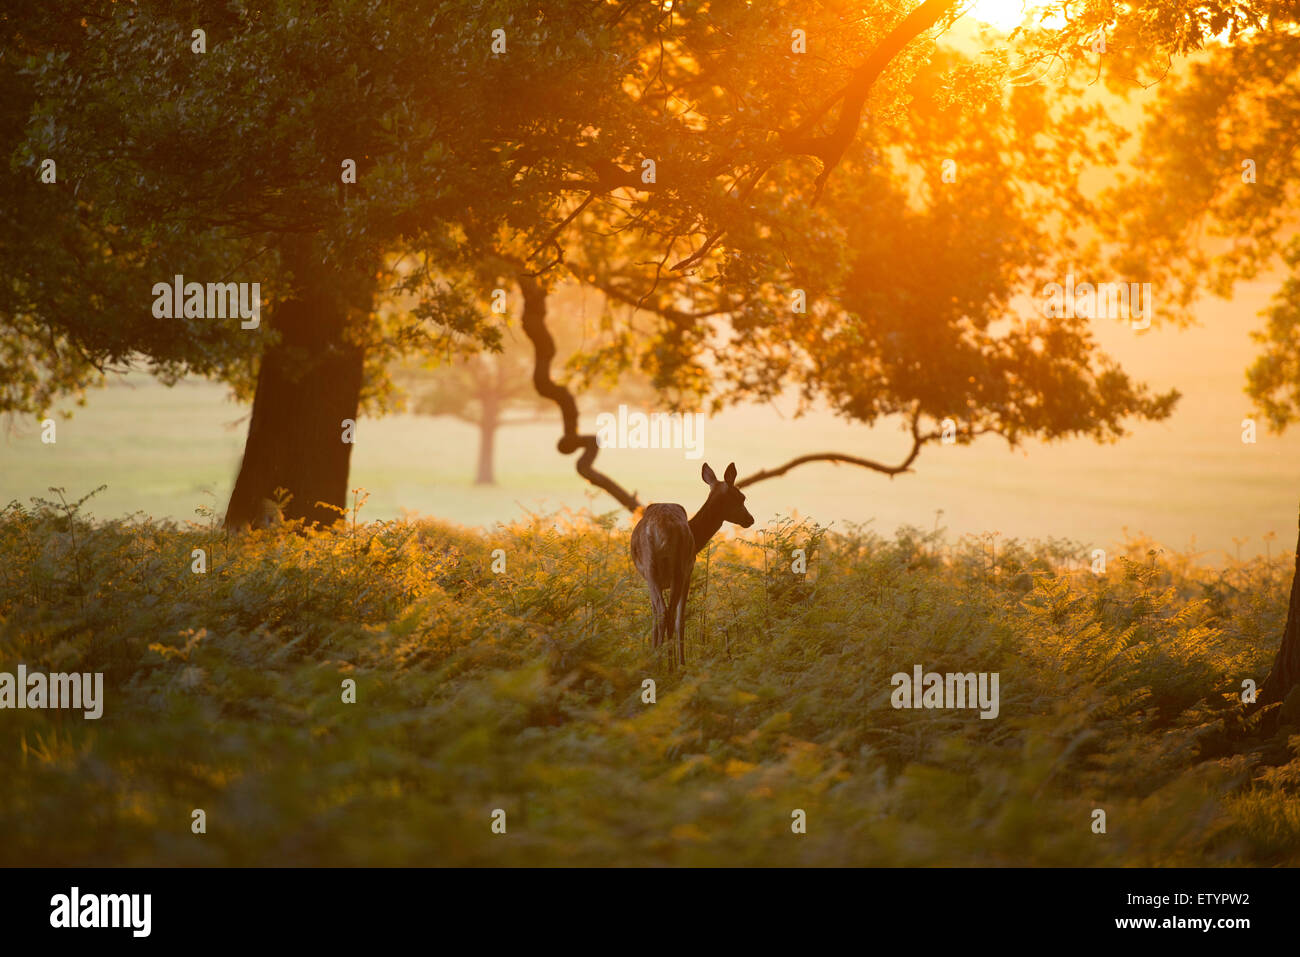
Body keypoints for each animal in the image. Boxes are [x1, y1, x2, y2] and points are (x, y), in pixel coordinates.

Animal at [630, 462, 755, 666]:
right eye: (741, 496)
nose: (750, 519)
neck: (697, 539)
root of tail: (661, 529)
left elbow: (655, 616)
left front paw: (655, 655)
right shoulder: (689, 570)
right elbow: (679, 619)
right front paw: (679, 662)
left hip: (654, 569)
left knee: (664, 612)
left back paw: (664, 663)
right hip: (677, 568)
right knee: (670, 614)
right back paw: (671, 666)